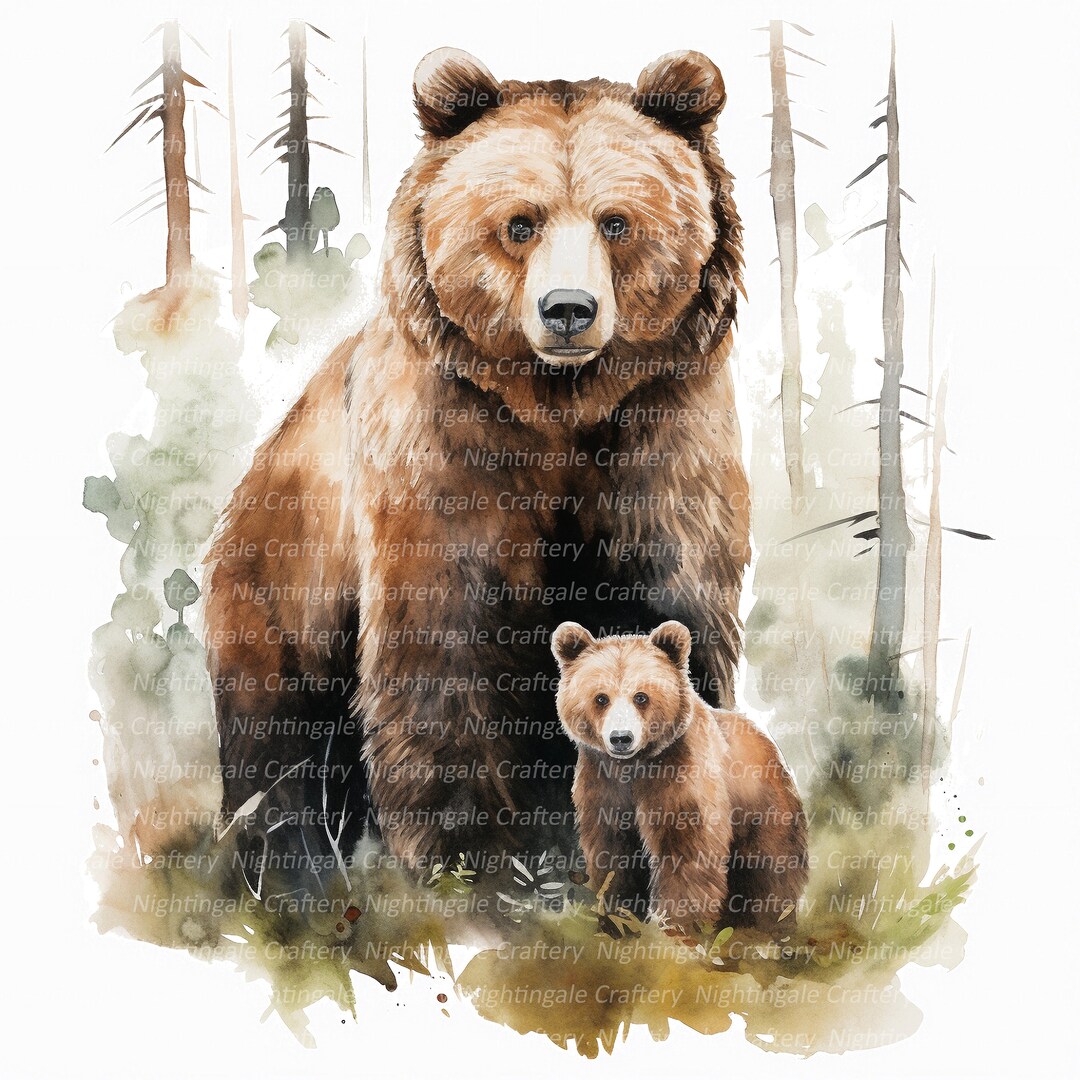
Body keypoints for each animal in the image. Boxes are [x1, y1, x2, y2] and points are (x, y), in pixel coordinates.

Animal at [203, 46, 749, 893]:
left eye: (616, 222)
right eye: (520, 224)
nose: (568, 309)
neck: (560, 411)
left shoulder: (660, 440)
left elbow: (671, 604)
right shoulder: (447, 447)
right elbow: (444, 640)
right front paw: (472, 854)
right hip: (280, 582)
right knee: (279, 734)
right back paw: (288, 863)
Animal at [551, 620, 808, 928]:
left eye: (641, 696)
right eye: (601, 698)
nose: (621, 738)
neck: (634, 765)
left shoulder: (680, 772)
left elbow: (687, 848)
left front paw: (675, 924)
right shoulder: (603, 782)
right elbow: (612, 852)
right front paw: (617, 915)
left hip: (762, 805)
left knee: (770, 866)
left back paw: (768, 921)